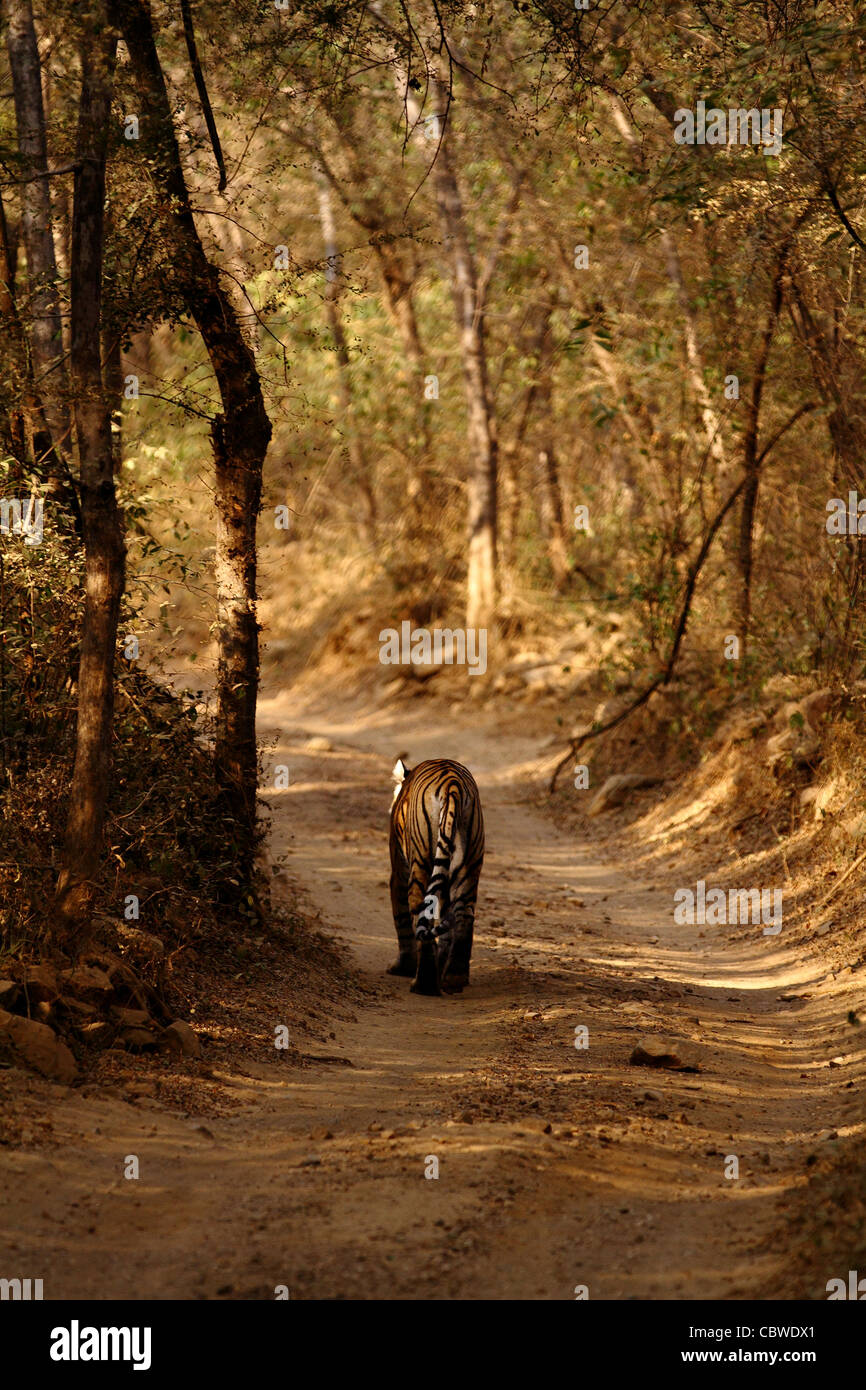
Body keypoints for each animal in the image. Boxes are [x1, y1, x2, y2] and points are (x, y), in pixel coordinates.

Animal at [387, 757, 485, 996]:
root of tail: (453, 783)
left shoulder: (398, 873)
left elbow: (402, 920)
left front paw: (403, 967)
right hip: (469, 866)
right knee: (463, 915)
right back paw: (454, 978)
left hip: (420, 866)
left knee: (420, 913)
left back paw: (424, 985)